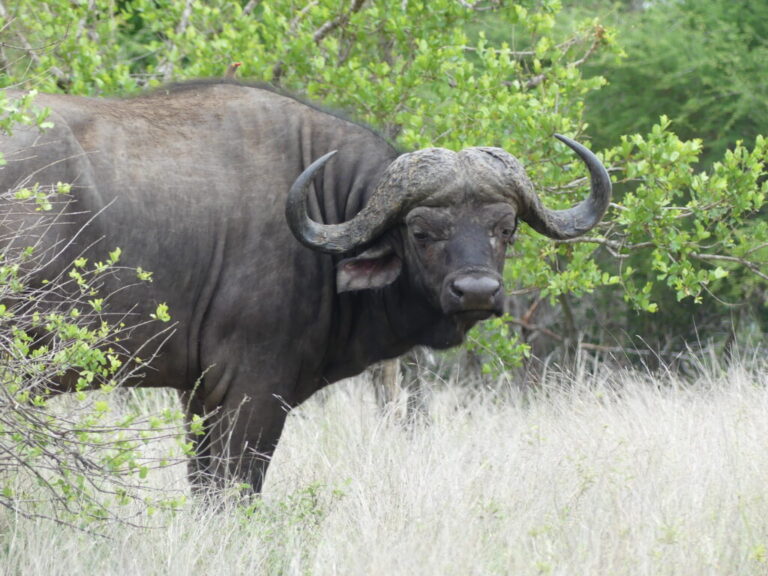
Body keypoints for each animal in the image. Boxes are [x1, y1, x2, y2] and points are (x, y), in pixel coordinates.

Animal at [0, 80, 610, 492]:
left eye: (505, 228)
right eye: (420, 231)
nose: (478, 291)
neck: (324, 212)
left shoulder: (197, 393)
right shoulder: (251, 389)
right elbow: (234, 489)